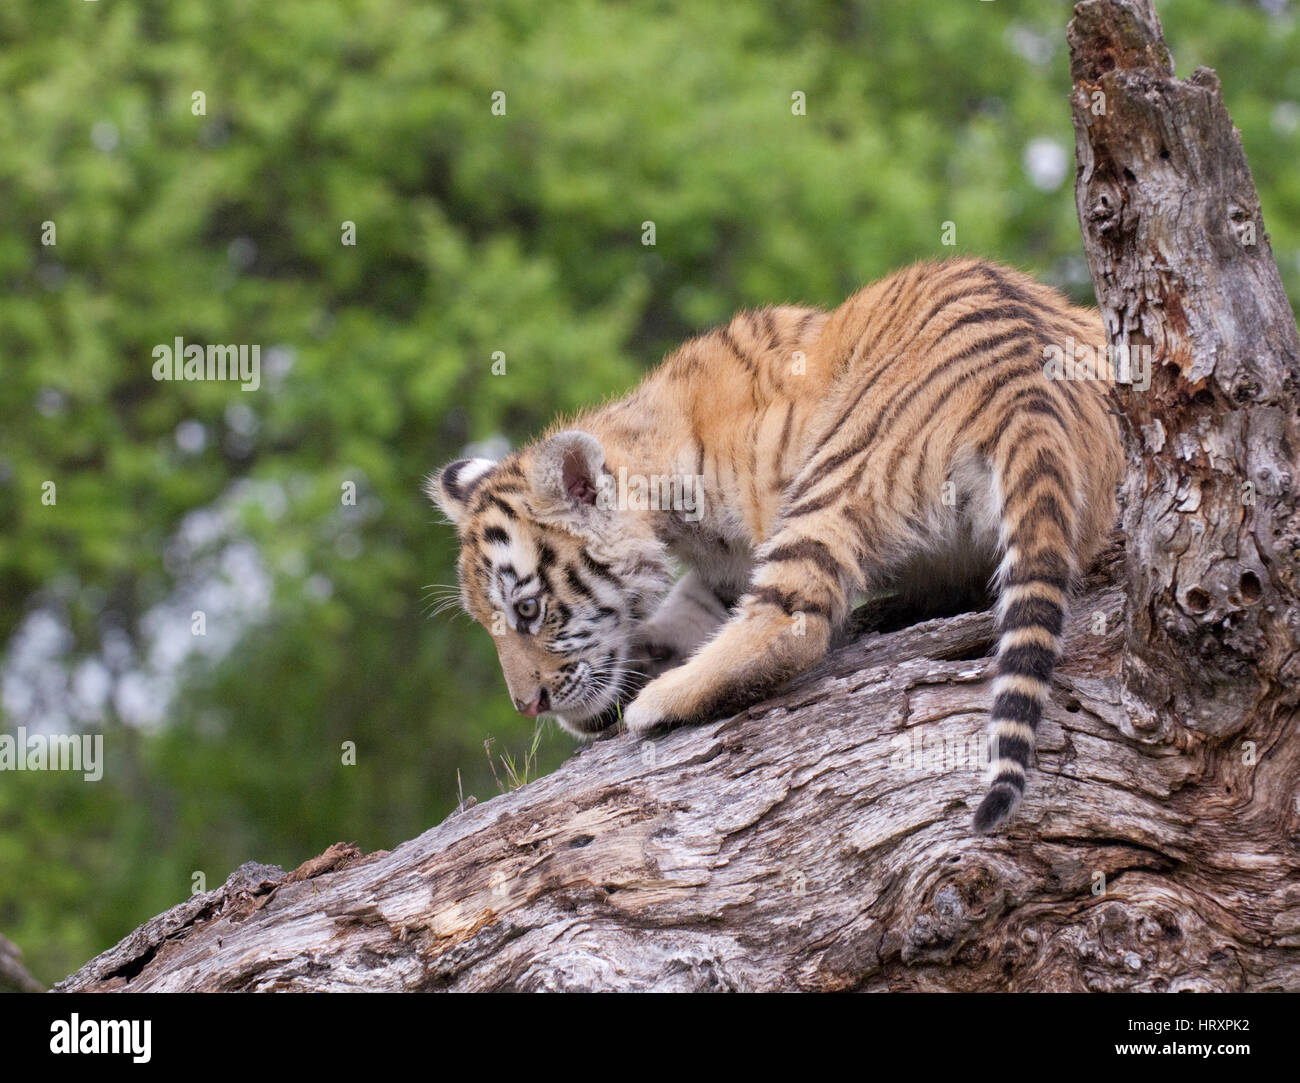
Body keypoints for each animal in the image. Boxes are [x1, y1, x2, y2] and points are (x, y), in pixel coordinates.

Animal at [428, 258, 1123, 832]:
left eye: (528, 609)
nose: (528, 706)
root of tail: (1028, 385)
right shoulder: (720, 568)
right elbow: (688, 611)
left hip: (843, 463)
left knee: (794, 622)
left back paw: (660, 703)